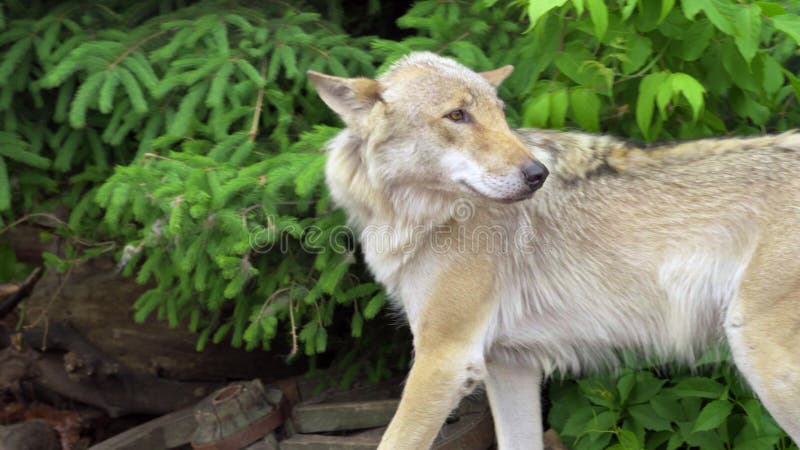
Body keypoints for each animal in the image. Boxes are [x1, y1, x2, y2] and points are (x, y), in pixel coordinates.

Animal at [308, 51, 800, 449]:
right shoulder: (508, 368)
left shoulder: (445, 361)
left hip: (762, 360)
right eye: (457, 115)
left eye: (500, 116)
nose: (537, 174)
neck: (425, 216)